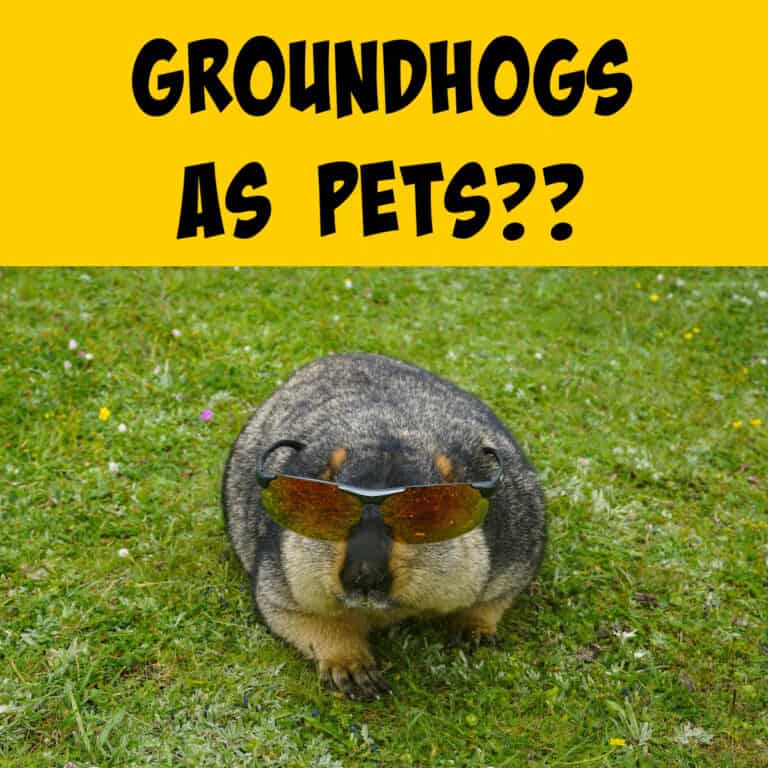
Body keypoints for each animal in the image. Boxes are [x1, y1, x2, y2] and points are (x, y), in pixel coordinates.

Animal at [222, 353, 546, 699]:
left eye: (422, 516)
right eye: (328, 511)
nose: (363, 574)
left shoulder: (514, 536)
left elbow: (501, 589)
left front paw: (474, 631)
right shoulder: (285, 562)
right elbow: (289, 606)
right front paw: (352, 668)